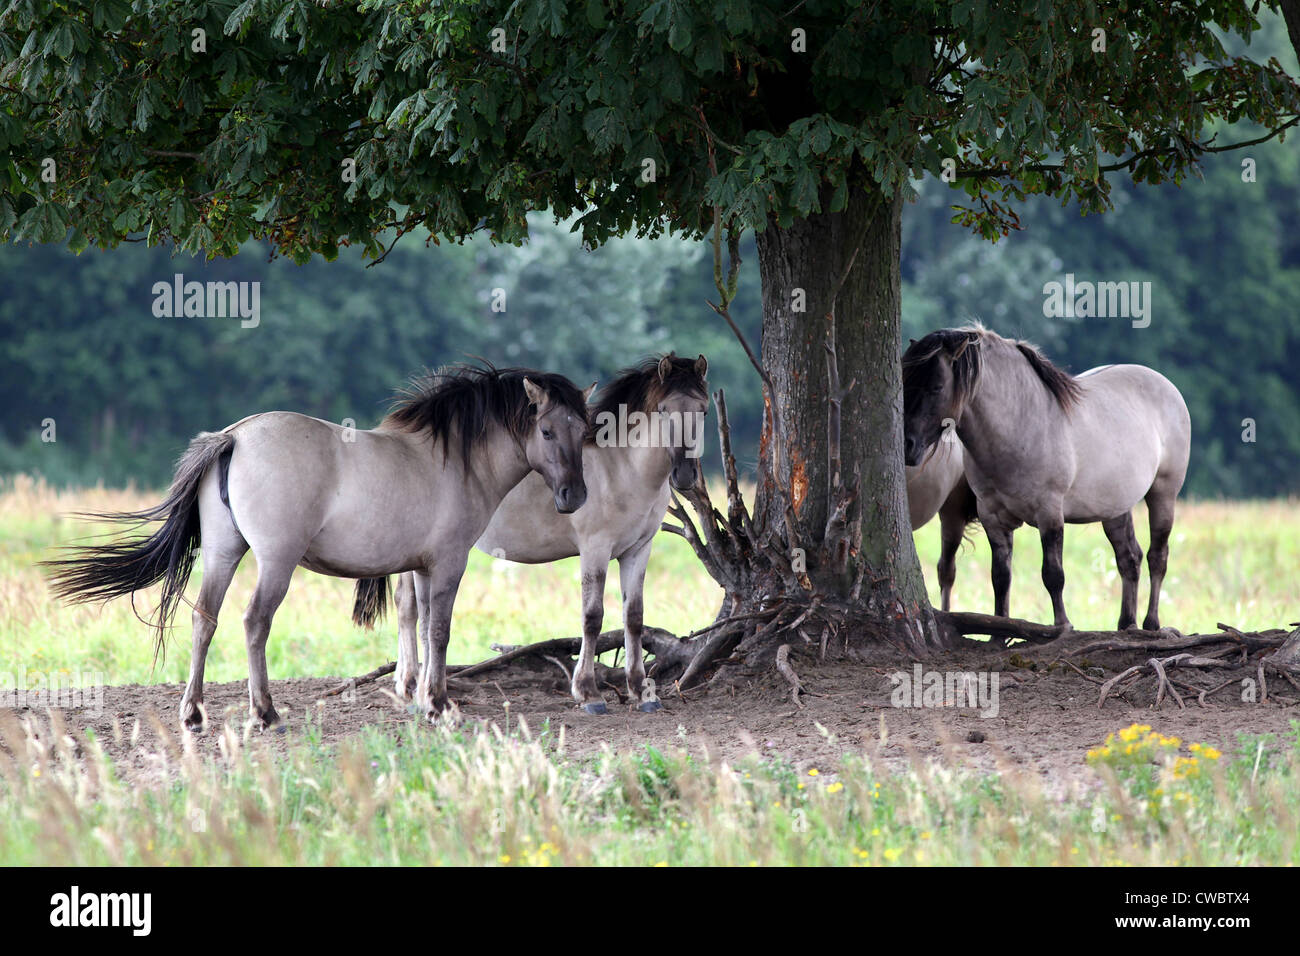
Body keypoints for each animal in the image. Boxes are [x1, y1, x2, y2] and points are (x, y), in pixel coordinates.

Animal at [43, 366, 594, 728]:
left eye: (584, 430)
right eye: (547, 430)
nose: (575, 496)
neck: (454, 461)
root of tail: (233, 436)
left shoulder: (420, 567)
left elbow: (415, 624)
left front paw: (421, 698)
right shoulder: (448, 565)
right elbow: (439, 630)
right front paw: (438, 704)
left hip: (222, 554)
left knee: (205, 619)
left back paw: (193, 712)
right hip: (276, 563)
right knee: (253, 622)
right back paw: (264, 712)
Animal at [353, 353, 710, 714]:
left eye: (704, 410)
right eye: (663, 410)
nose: (684, 475)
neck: (621, 467)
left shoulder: (638, 550)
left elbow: (634, 617)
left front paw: (641, 691)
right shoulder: (595, 549)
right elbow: (592, 617)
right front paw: (588, 693)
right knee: (407, 608)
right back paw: (411, 683)